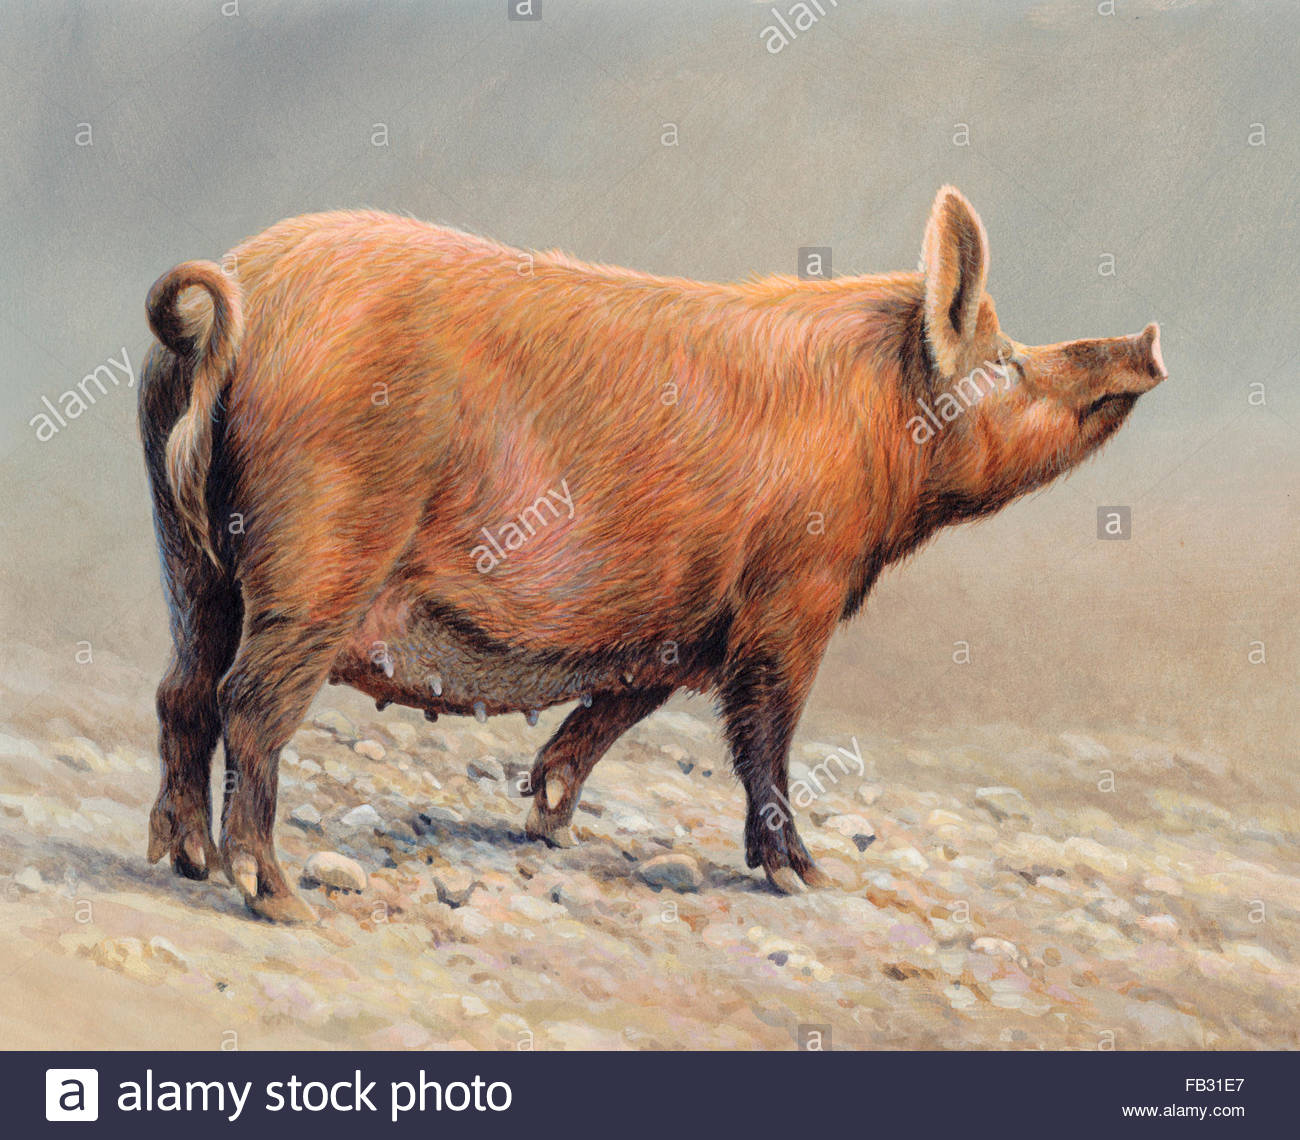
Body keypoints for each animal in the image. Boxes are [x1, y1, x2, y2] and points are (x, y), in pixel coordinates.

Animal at [139, 186, 1166, 920]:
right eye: (1012, 363)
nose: (1149, 339)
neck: (880, 430)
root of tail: (236, 301)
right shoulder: (794, 591)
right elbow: (765, 733)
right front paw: (805, 880)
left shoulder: (680, 622)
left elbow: (612, 714)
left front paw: (546, 822)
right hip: (321, 553)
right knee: (249, 703)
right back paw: (276, 897)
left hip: (188, 554)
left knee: (181, 689)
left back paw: (183, 862)